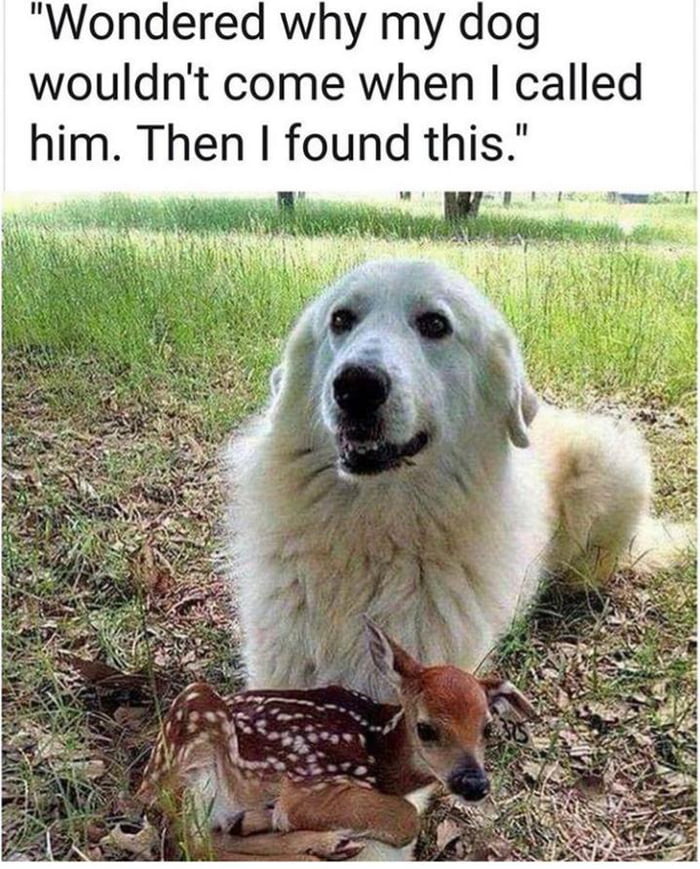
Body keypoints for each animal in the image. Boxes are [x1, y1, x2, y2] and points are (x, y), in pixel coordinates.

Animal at [138, 619, 536, 860]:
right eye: (426, 728)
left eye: (487, 728)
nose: (474, 784)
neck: (379, 756)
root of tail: (143, 785)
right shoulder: (311, 784)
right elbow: (407, 819)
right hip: (197, 720)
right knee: (192, 842)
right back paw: (324, 843)